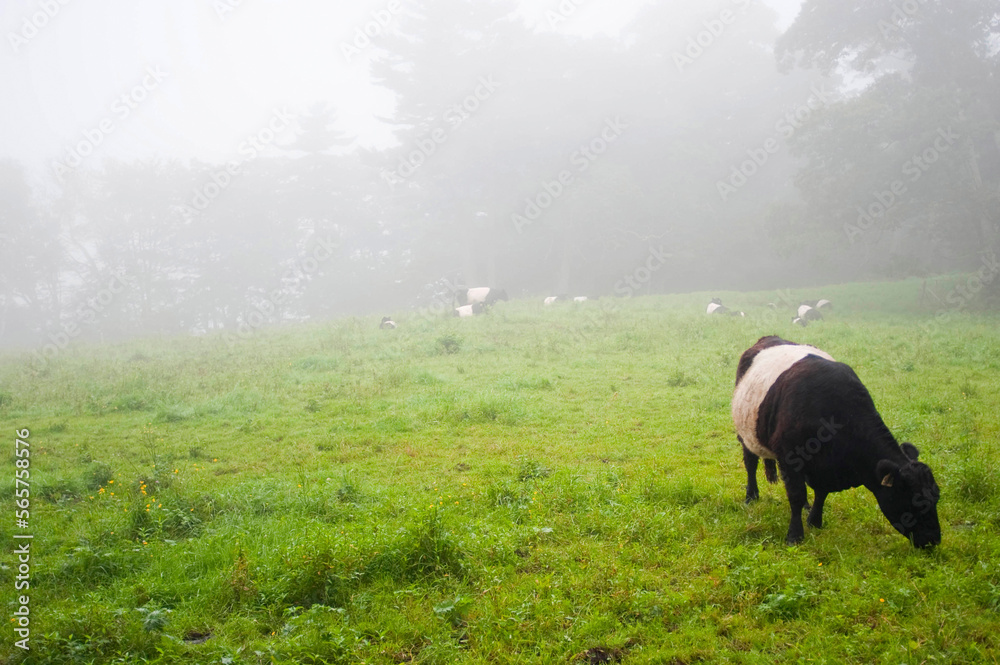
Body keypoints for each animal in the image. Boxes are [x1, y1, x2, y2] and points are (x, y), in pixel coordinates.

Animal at [732, 335, 941, 548]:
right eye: (913, 501)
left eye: (937, 497)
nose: (933, 540)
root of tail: (770, 338)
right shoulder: (789, 456)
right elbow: (796, 495)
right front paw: (795, 536)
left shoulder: (825, 466)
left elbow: (820, 492)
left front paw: (815, 520)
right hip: (746, 434)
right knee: (750, 463)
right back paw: (751, 496)